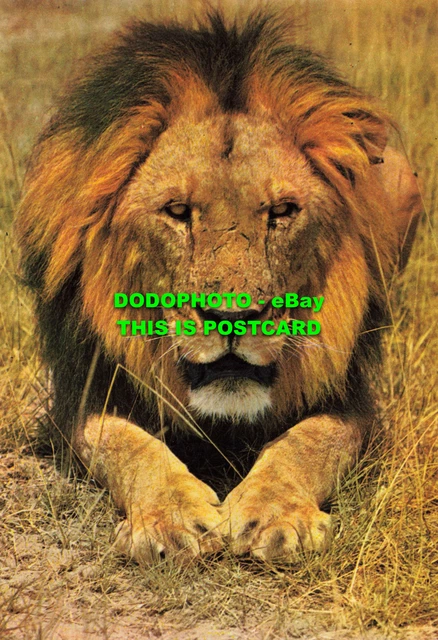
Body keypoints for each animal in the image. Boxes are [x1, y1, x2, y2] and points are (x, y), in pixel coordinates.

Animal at [16, 11, 421, 563]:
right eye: (178, 211)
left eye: (282, 211)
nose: (232, 319)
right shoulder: (81, 395)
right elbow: (124, 442)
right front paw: (168, 520)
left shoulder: (351, 400)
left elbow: (309, 442)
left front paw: (276, 514)